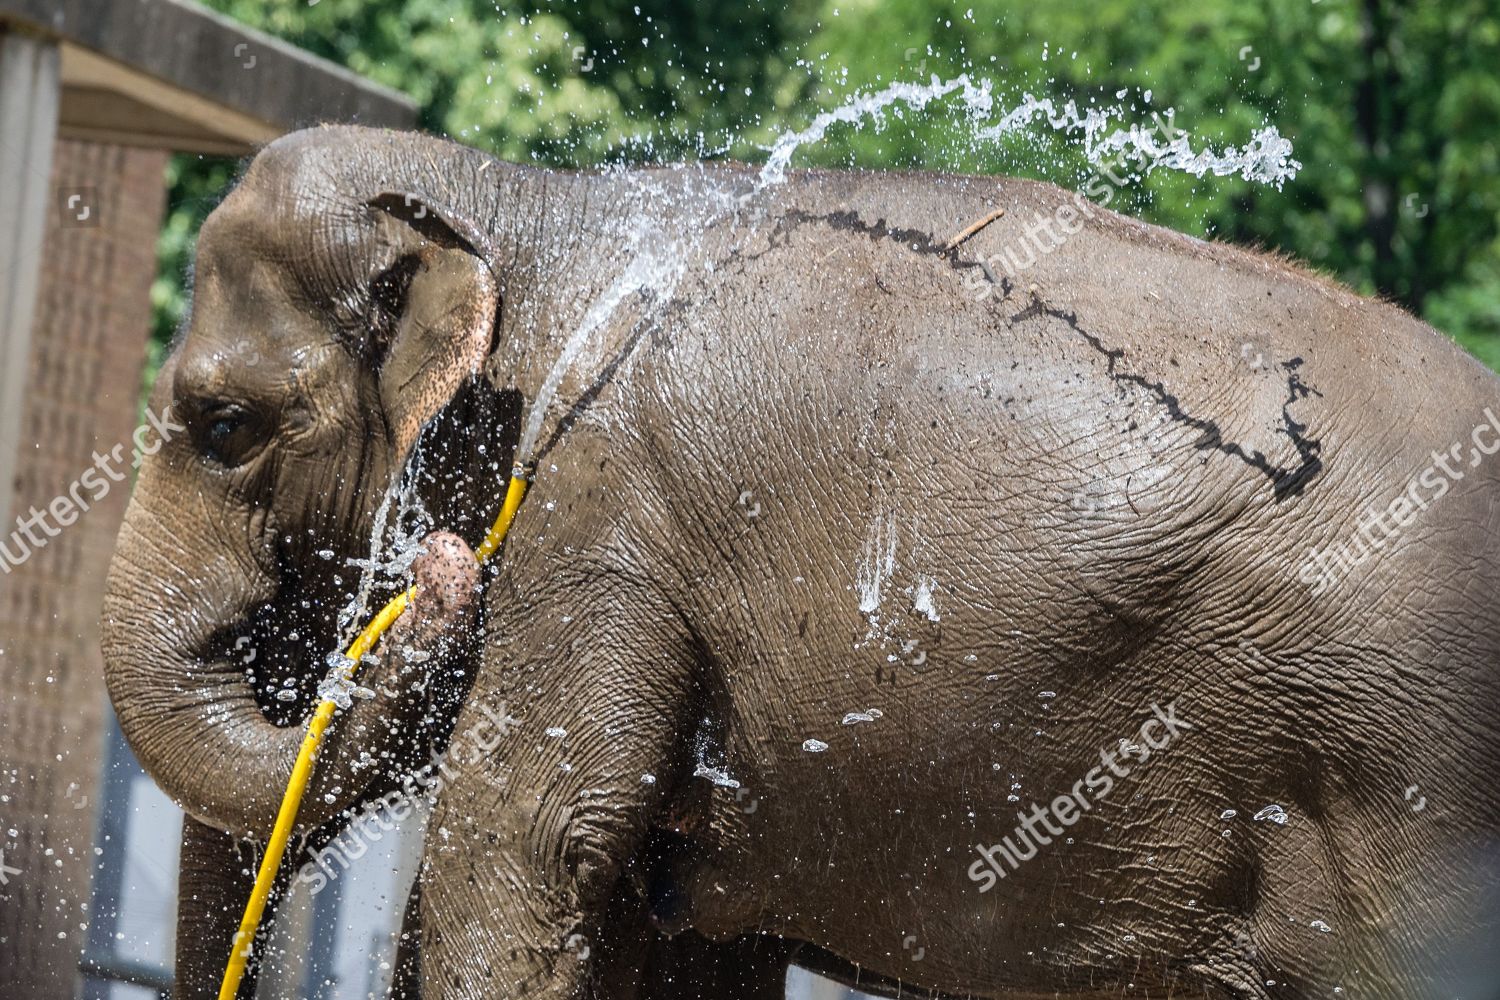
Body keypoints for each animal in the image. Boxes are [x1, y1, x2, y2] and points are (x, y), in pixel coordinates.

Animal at [101, 124, 1500, 999]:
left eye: (222, 425)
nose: (441, 577)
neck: (527, 210)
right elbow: (660, 927)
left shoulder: (597, 521)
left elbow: (517, 850)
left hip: (1417, 788)